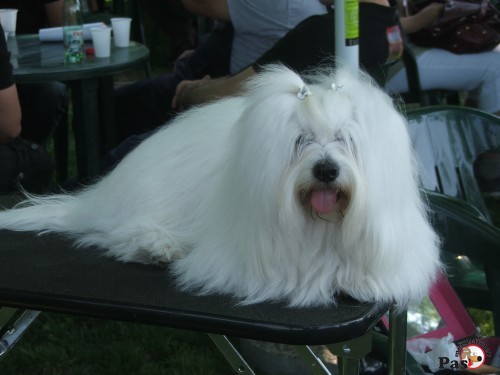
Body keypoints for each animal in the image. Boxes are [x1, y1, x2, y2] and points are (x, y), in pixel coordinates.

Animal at [0, 66, 438, 310]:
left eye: (345, 139)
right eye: (301, 141)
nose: (326, 170)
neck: (321, 226)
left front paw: (361, 280)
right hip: (146, 200)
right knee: (116, 234)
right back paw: (156, 247)